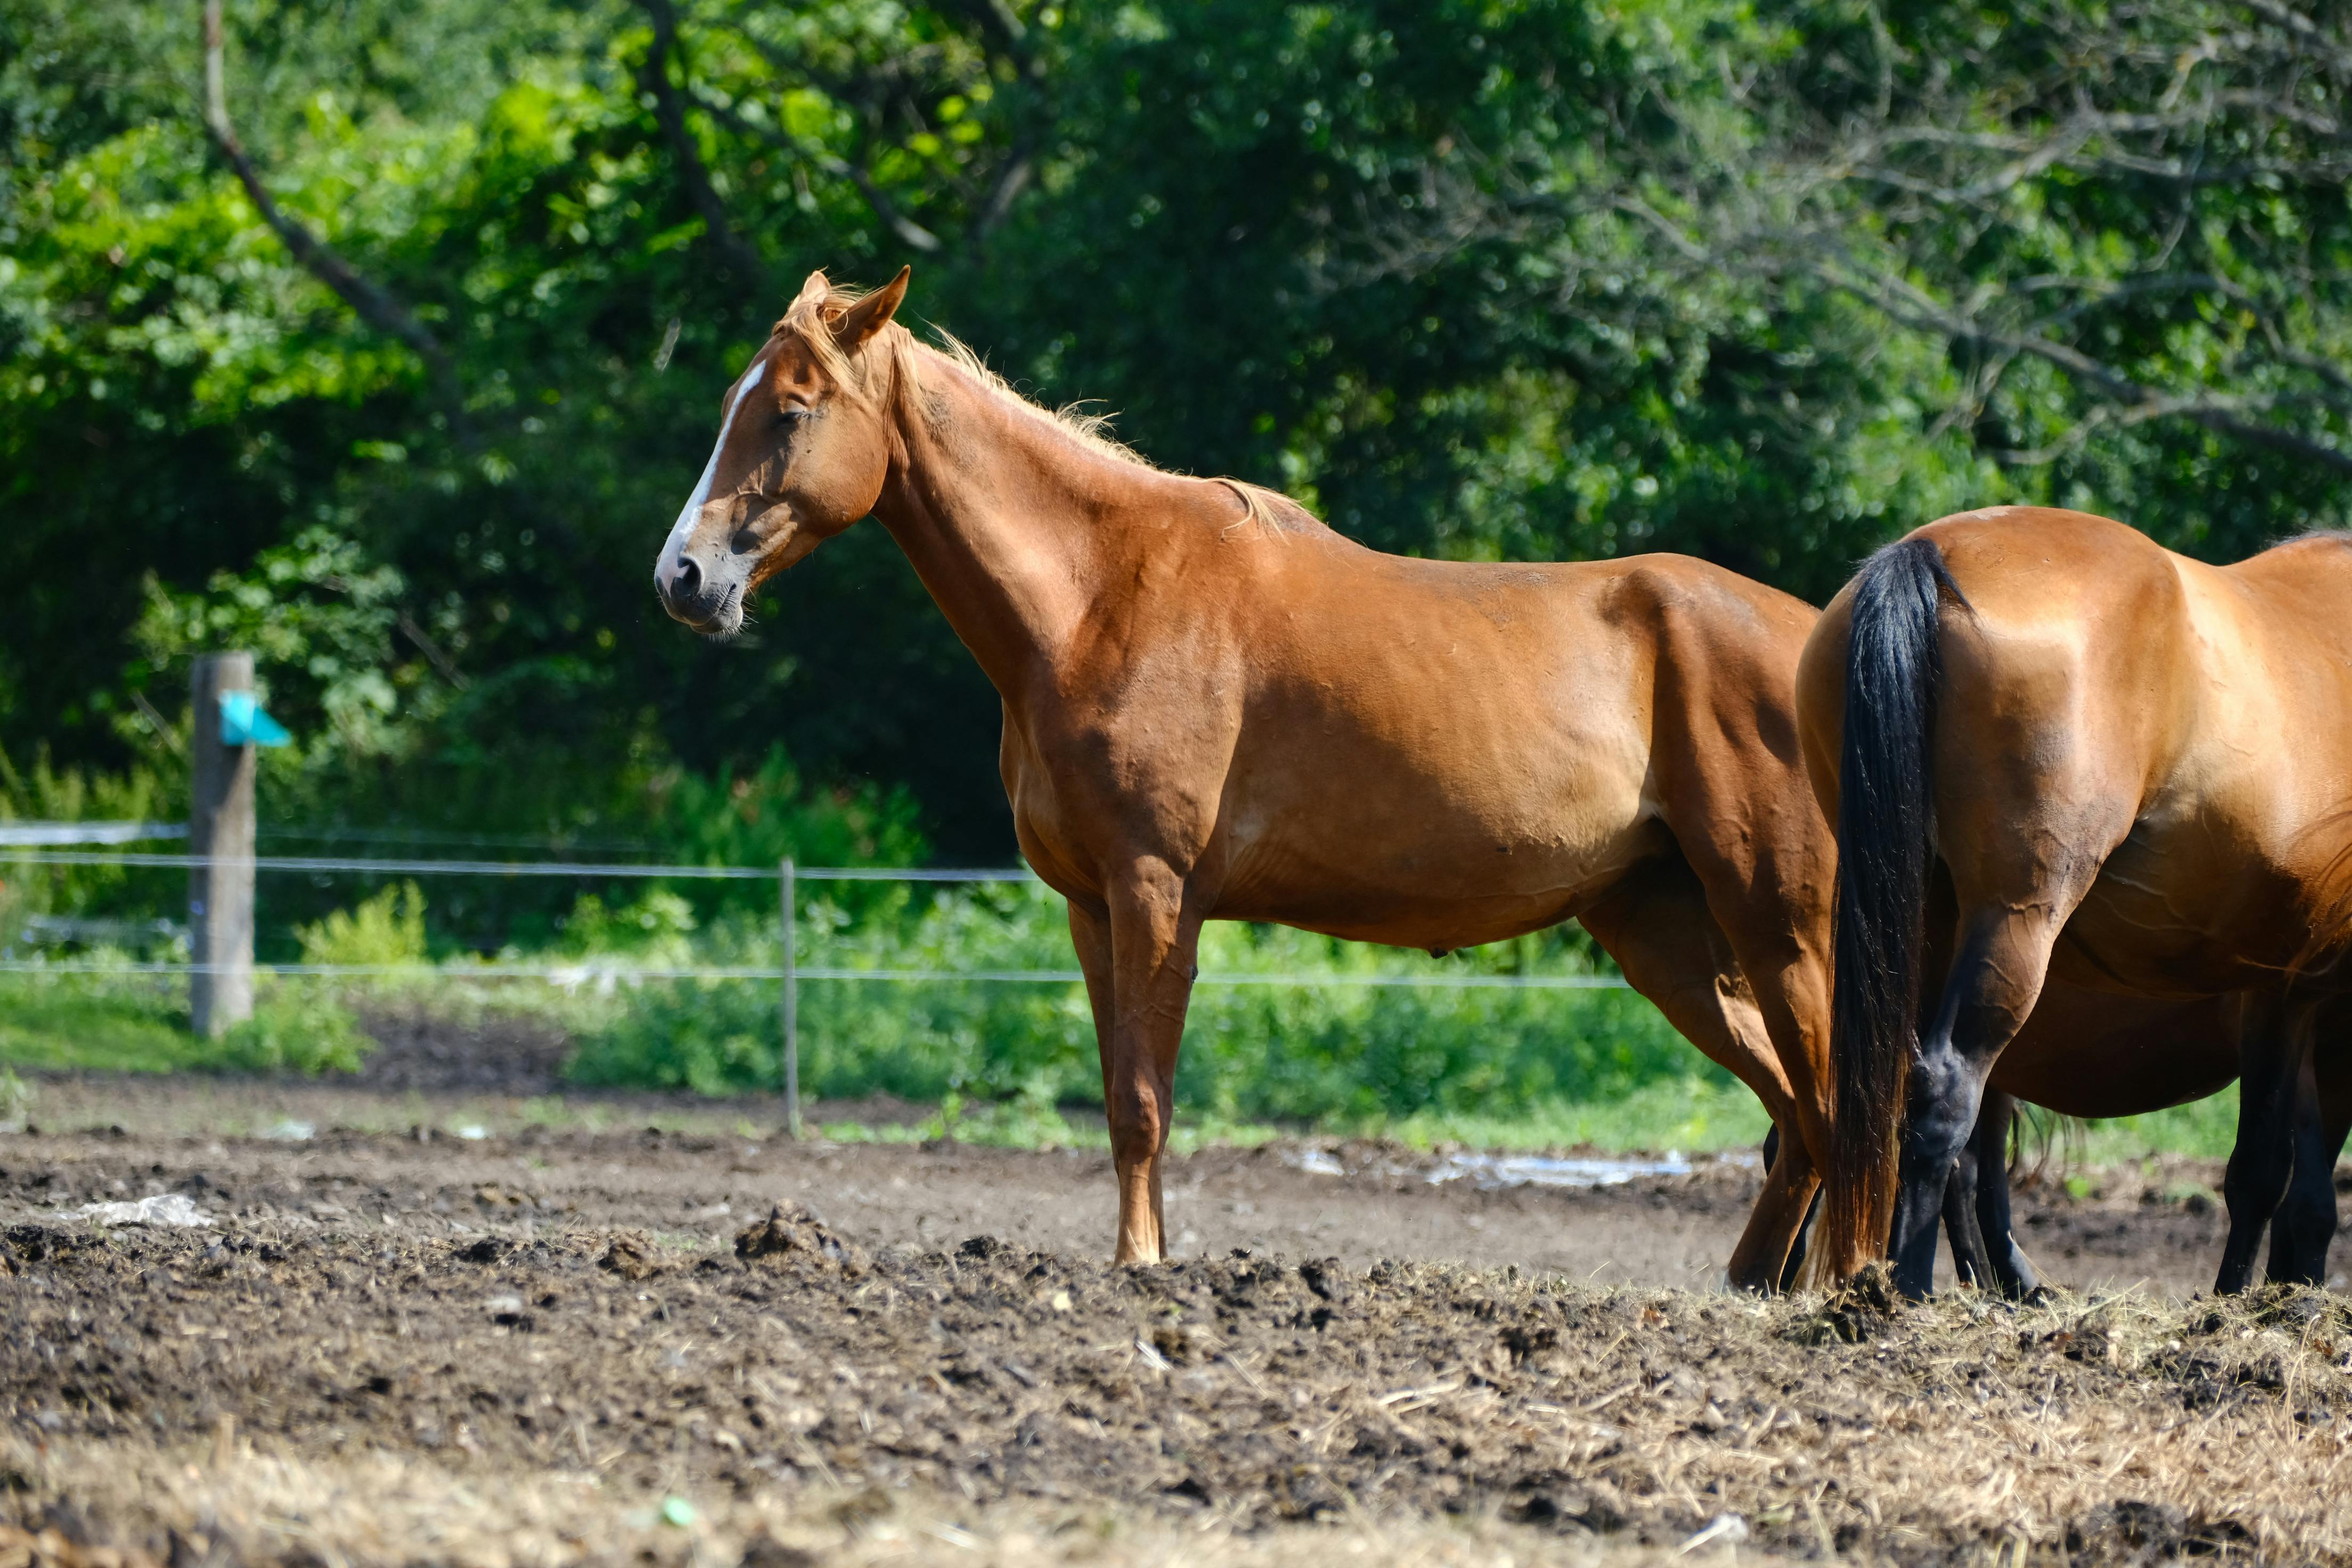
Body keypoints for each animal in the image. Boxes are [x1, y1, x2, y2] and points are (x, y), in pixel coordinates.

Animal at [649, 267, 1847, 1285]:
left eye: (792, 408)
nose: (683, 578)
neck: (1096, 600)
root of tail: (1822, 638)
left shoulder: (1156, 890)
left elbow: (1144, 1099)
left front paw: (1141, 1264)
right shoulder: (1091, 906)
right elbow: (1118, 1093)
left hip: (1780, 927)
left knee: (1835, 1101)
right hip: (1663, 931)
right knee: (1796, 1115)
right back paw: (1759, 1285)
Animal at [1797, 507, 2352, 1295]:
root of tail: (1927, 551)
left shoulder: (2281, 991)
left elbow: (2276, 1179)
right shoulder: (2306, 997)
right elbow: (2278, 1179)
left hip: (1928, 930)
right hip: (2016, 924)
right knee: (1947, 1097)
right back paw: (1911, 1289)